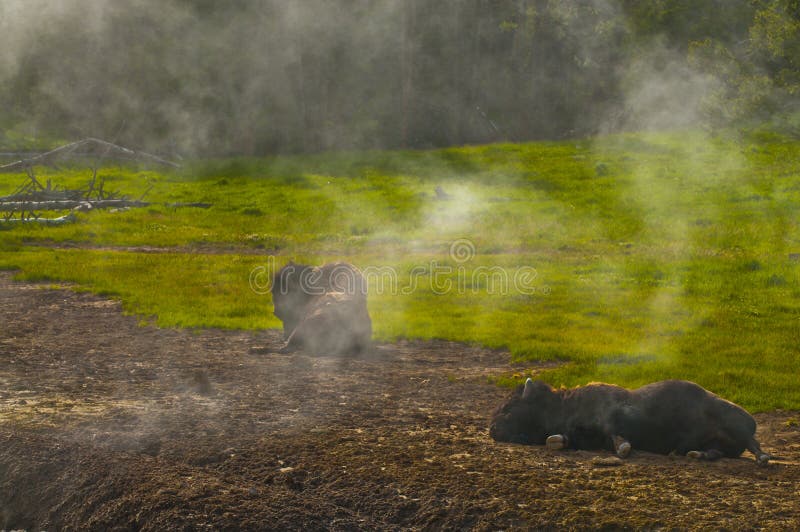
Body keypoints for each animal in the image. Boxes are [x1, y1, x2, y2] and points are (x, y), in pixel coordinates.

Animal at [490, 379, 770, 465]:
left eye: (510, 407)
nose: (492, 429)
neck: (565, 405)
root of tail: (751, 419)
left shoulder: (611, 418)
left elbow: (618, 435)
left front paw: (624, 449)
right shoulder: (587, 436)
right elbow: (561, 440)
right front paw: (557, 440)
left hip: (736, 424)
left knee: (754, 442)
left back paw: (763, 458)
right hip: (721, 442)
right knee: (715, 451)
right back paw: (694, 454)